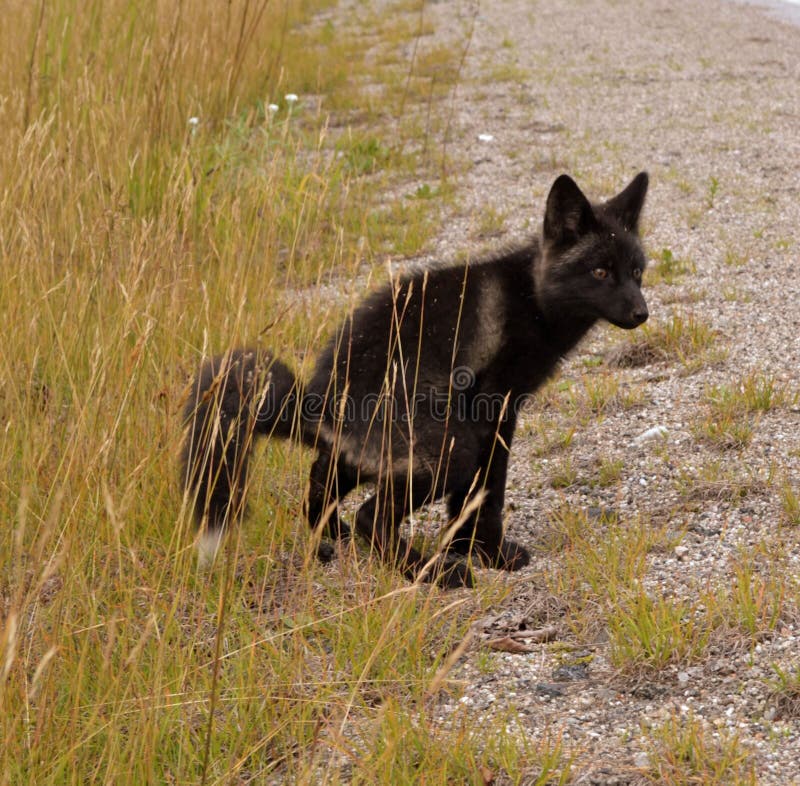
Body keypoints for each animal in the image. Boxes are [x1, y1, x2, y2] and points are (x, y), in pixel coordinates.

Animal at [181, 171, 650, 588]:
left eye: (636, 272)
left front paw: (468, 549)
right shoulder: (492, 412)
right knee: (370, 517)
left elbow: (468, 502)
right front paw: (488, 554)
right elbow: (487, 495)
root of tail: (322, 404)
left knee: (320, 477)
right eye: (600, 272)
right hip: (450, 449)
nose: (642, 314)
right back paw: (431, 574)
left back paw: (332, 541)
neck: (531, 298)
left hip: (384, 458)